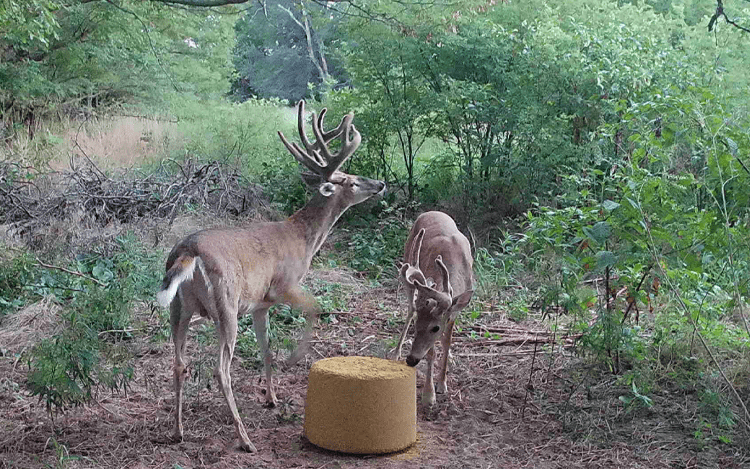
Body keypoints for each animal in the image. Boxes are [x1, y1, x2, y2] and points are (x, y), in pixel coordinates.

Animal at [156, 101, 385, 452]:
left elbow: (266, 346)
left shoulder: (259, 304)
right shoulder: (283, 286)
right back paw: (245, 438)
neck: (301, 239)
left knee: (179, 363)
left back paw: (178, 431)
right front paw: (294, 360)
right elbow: (314, 309)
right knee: (221, 370)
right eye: (350, 181)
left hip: (179, 307)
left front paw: (272, 396)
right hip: (226, 303)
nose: (381, 184)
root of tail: (189, 251)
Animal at [395, 211, 474, 406]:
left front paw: (442, 383)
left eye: (435, 327)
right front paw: (429, 394)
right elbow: (431, 352)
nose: (411, 359)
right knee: (410, 309)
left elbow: (446, 342)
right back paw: (396, 351)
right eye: (417, 325)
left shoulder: (454, 312)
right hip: (408, 266)